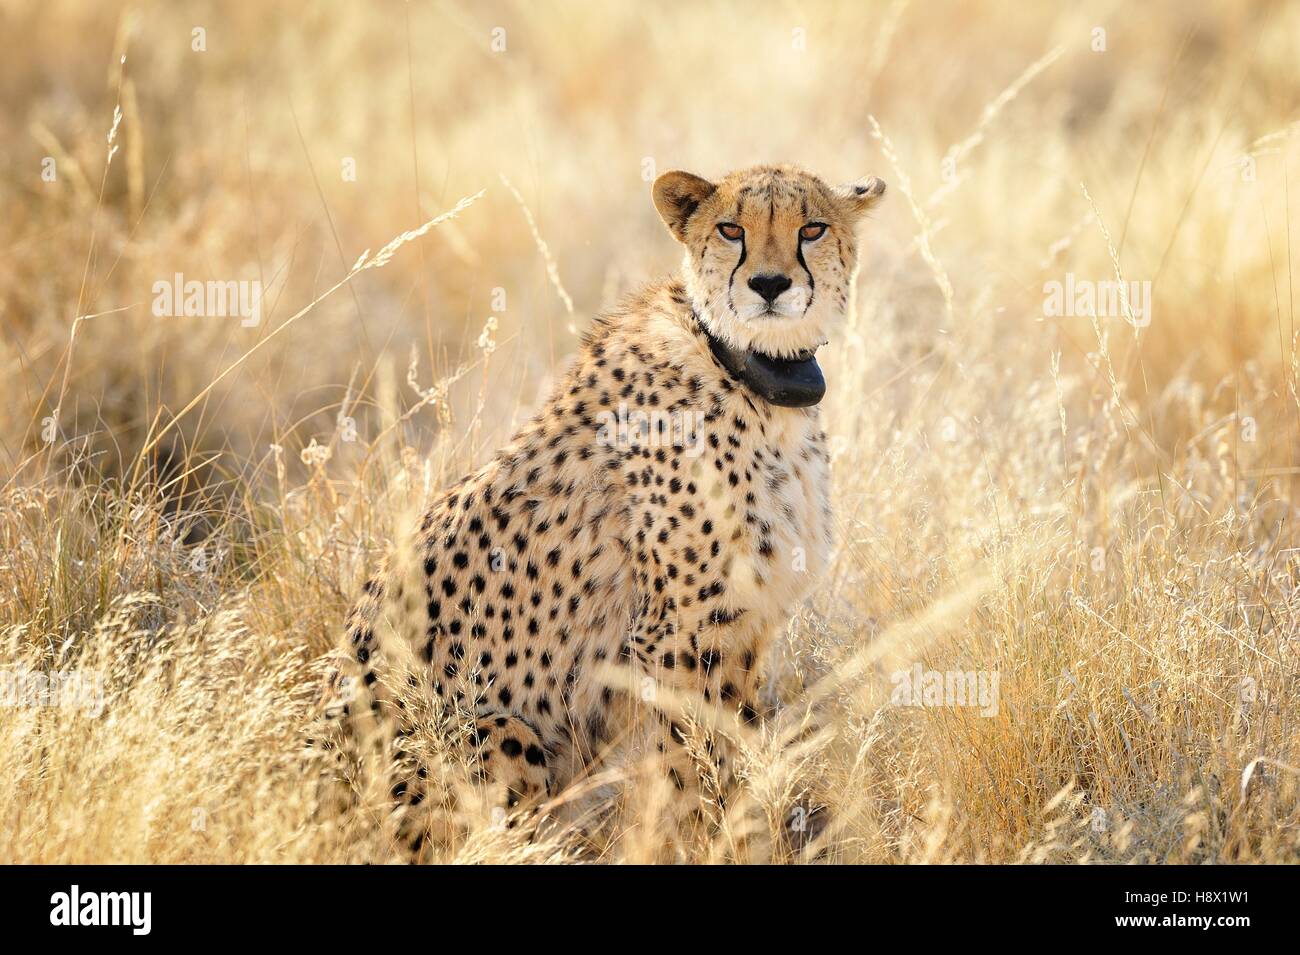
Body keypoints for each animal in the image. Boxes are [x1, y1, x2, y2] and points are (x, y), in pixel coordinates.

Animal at [315, 163, 886, 860]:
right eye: (731, 229)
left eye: (812, 229)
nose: (770, 284)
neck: (747, 372)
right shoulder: (677, 637)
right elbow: (696, 770)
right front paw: (714, 842)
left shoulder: (742, 633)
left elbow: (736, 753)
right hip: (498, 732)